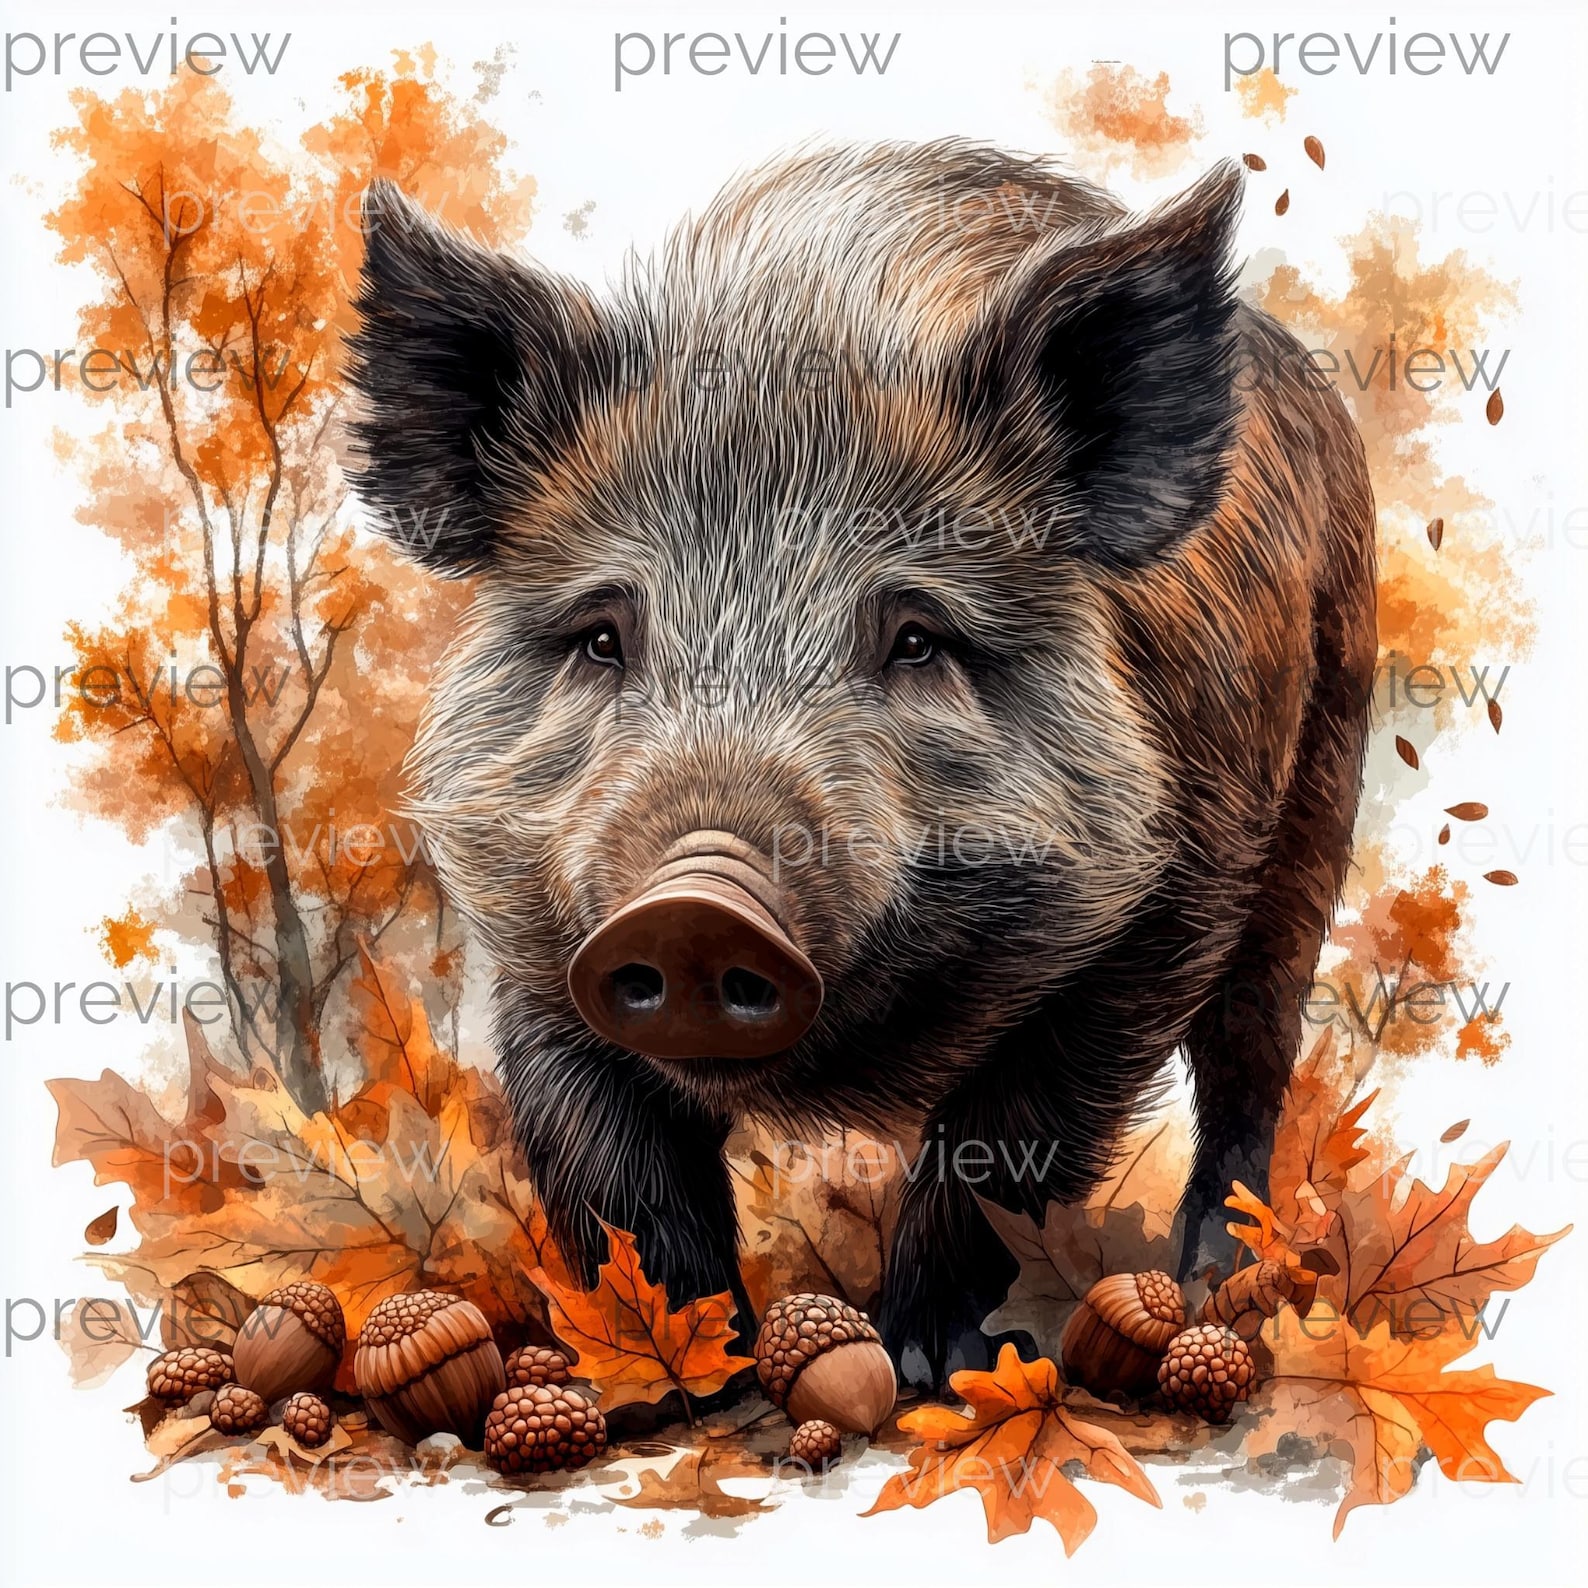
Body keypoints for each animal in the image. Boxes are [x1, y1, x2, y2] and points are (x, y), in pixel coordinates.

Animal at [347, 140, 1376, 1384]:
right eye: (602, 634)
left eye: (916, 638)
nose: (694, 906)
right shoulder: (535, 932)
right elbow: (617, 1167)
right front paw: (690, 1368)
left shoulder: (1162, 903)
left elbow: (1002, 1146)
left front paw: (929, 1368)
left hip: (1318, 790)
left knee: (1250, 1057)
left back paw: (1216, 1282)